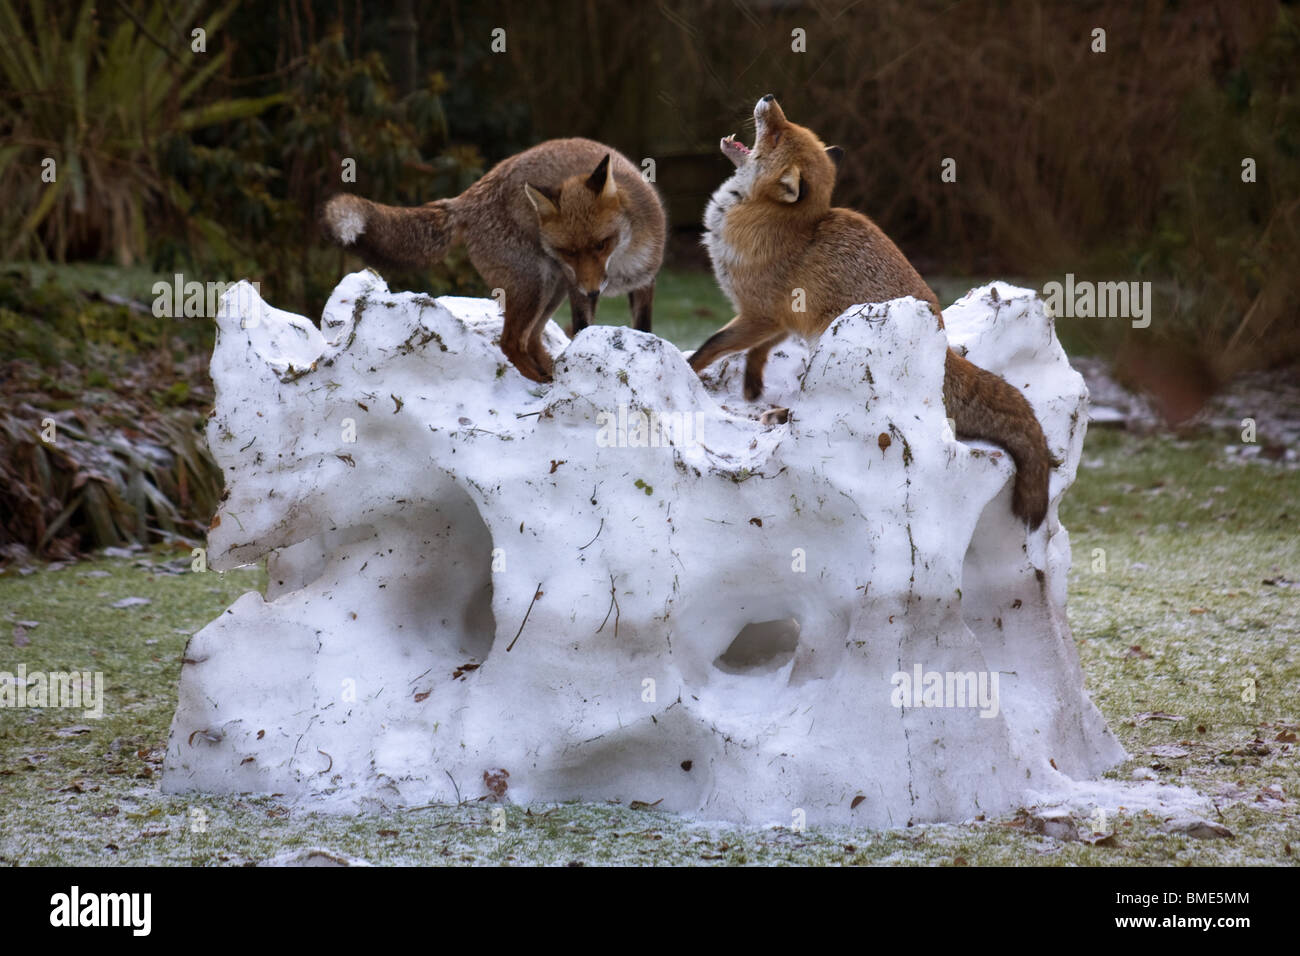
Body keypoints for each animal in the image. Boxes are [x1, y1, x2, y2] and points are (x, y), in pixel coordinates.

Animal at [322, 138, 666, 383]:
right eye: (569, 252)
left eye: (601, 244)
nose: (593, 291)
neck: (618, 267)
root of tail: (467, 198)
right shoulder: (575, 286)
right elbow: (582, 328)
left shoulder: (644, 280)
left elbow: (645, 328)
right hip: (536, 284)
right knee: (510, 342)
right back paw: (540, 381)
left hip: (551, 288)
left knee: (531, 339)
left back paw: (550, 374)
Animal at [693, 95, 1051, 529]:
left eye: (777, 133)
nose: (769, 98)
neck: (781, 224)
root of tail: (942, 347)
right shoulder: (781, 316)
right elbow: (758, 351)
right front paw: (751, 384)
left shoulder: (757, 313)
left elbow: (713, 345)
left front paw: (691, 370)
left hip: (830, 343)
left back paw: (780, 416)